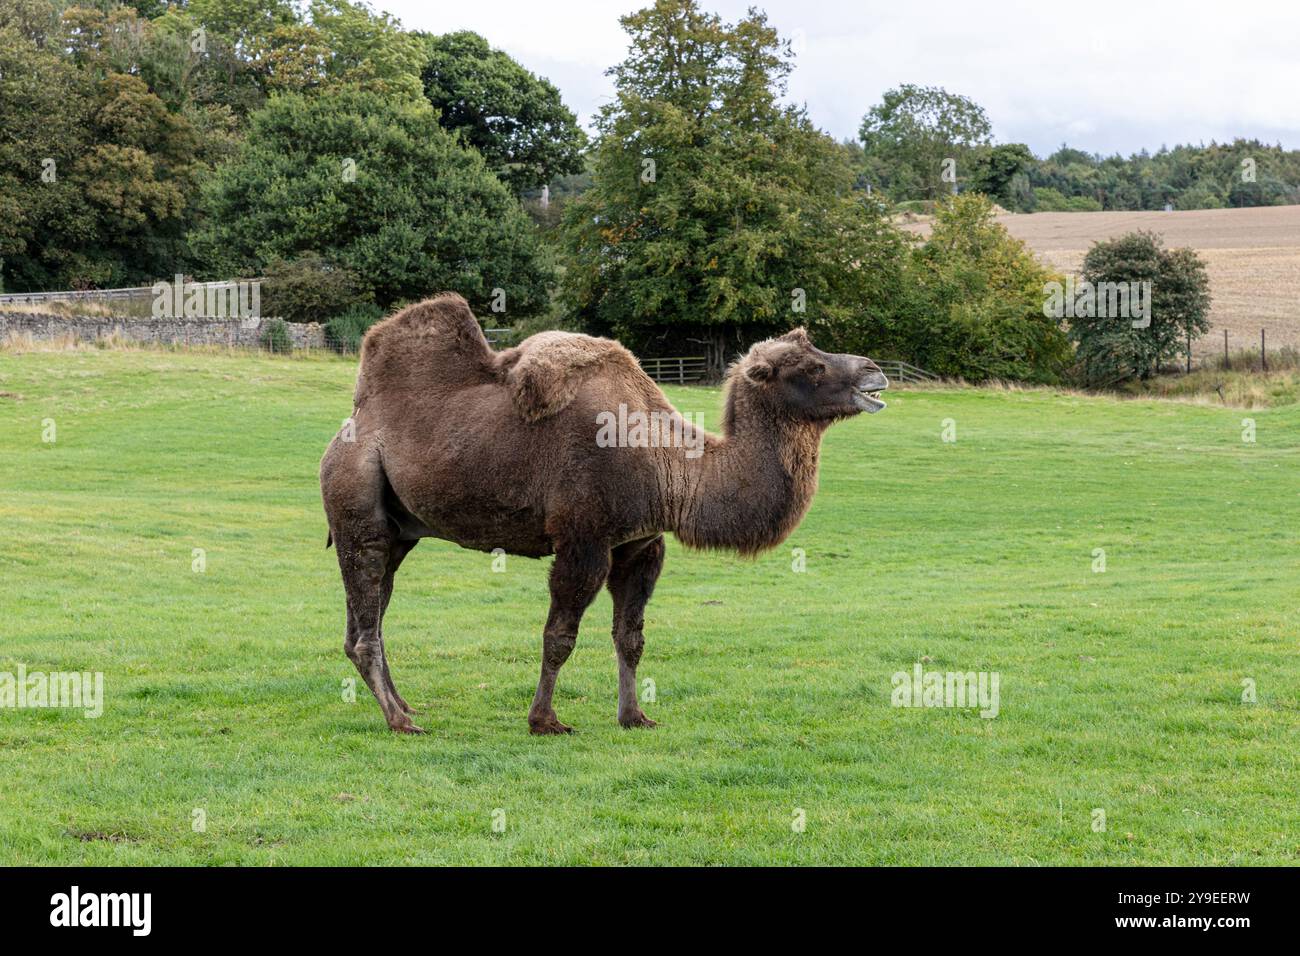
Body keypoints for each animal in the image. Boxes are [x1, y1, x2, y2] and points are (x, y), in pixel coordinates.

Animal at [320, 293, 888, 735]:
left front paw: (634, 716)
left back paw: (405, 705)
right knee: (366, 619)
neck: (663, 459)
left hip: (401, 531)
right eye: (811, 366)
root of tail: (353, 423)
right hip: (356, 501)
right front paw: (545, 720)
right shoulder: (583, 537)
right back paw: (400, 720)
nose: (875, 371)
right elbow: (559, 636)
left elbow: (631, 637)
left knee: (369, 618)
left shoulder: (640, 543)